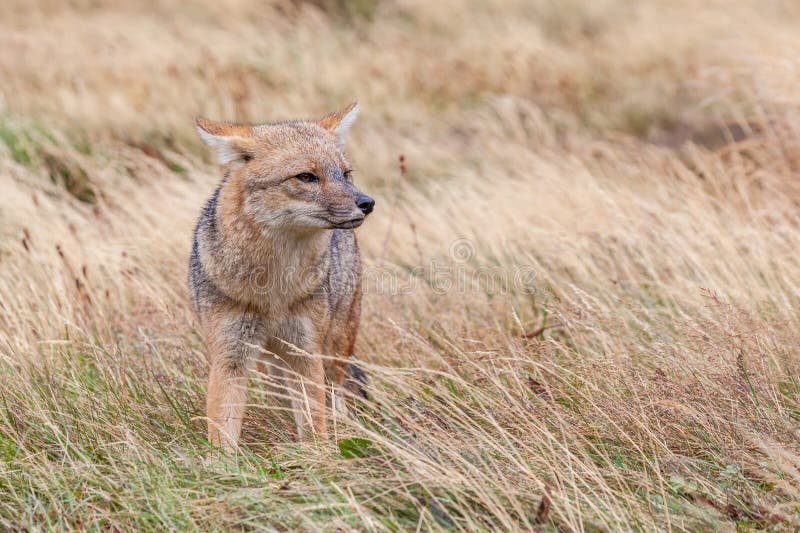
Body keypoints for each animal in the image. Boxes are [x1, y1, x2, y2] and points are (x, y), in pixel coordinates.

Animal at [188, 103, 374, 451]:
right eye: (306, 176)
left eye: (345, 173)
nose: (367, 203)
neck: (273, 287)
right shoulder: (229, 356)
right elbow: (222, 432)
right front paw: (223, 464)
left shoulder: (305, 351)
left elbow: (315, 422)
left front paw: (320, 457)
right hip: (269, 363)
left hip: (335, 344)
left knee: (337, 391)